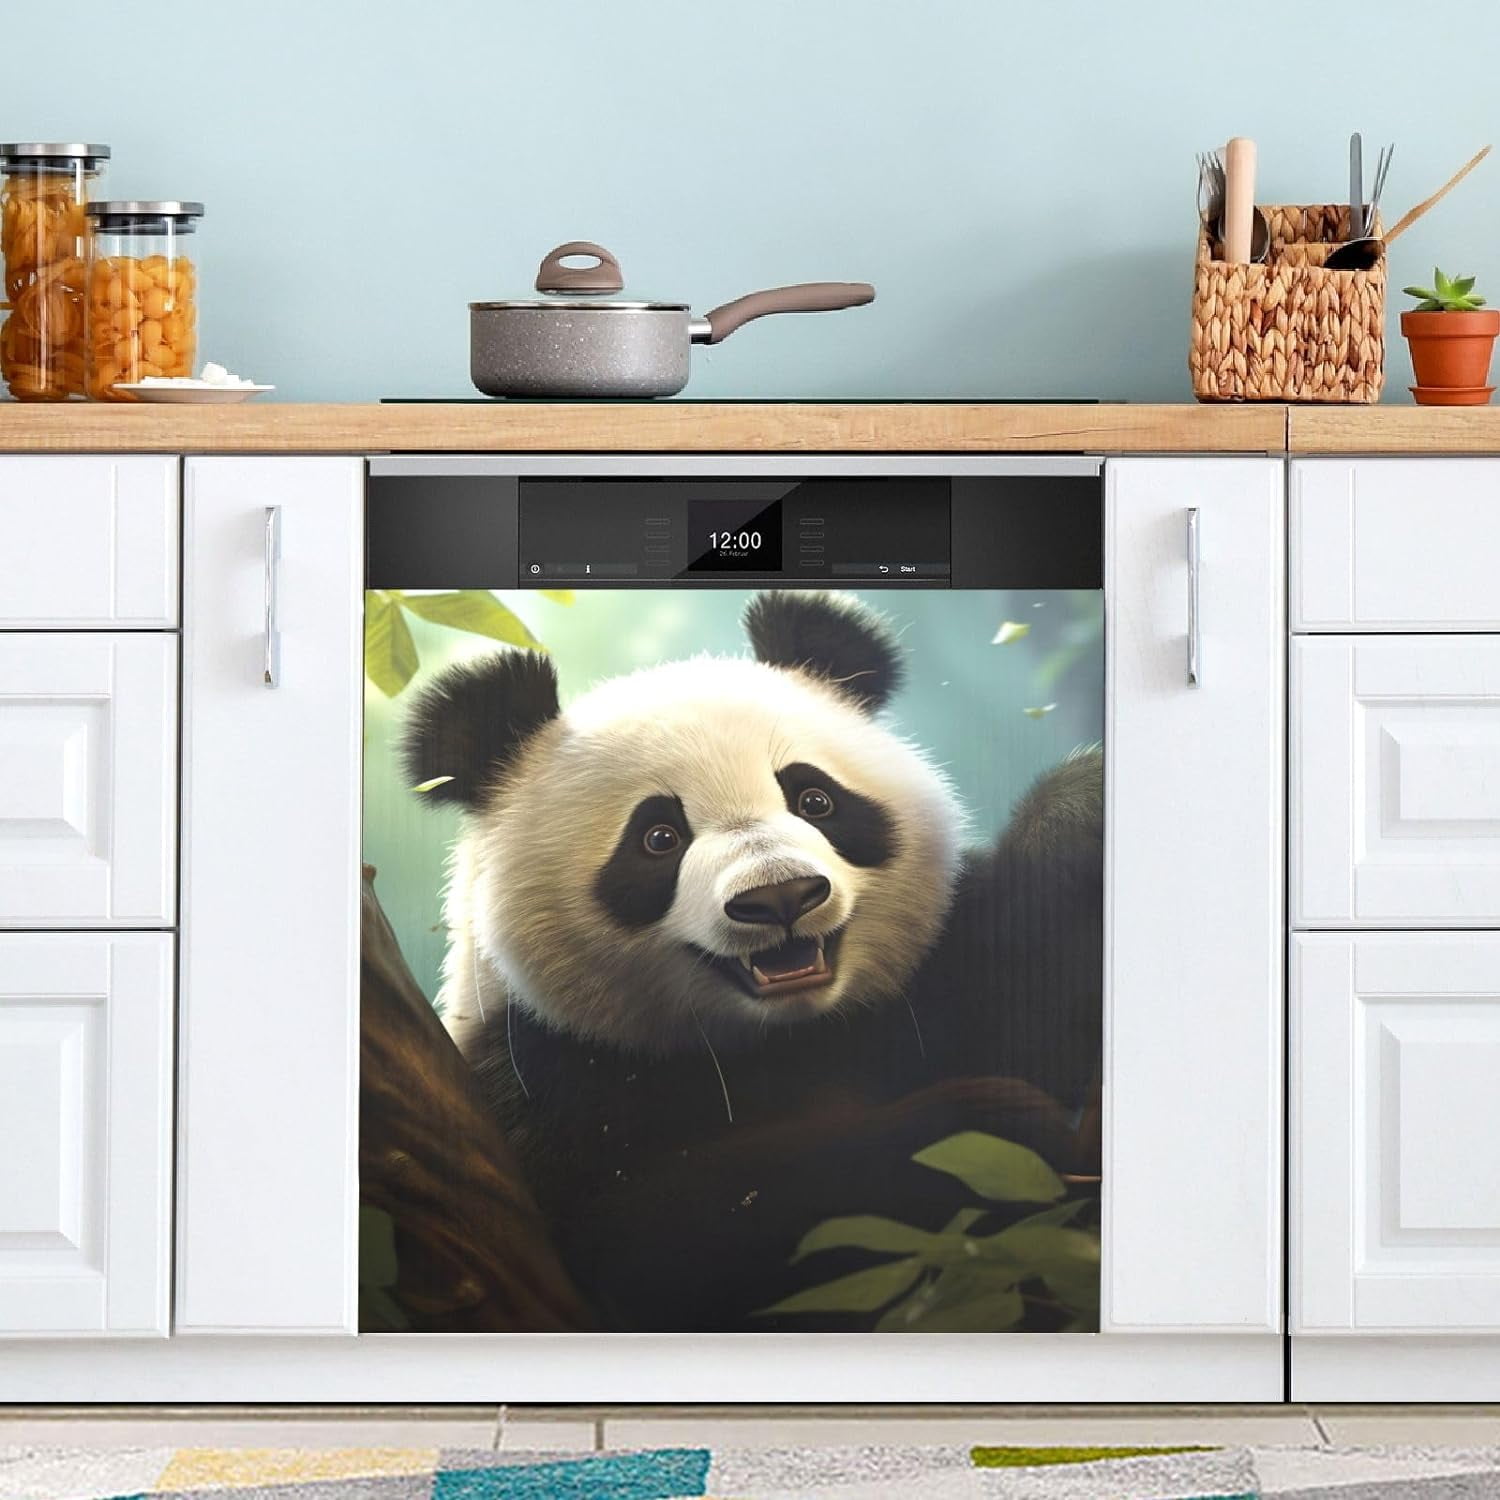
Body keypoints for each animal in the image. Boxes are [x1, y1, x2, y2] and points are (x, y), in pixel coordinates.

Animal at [403, 590, 1102, 1332]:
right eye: (658, 837)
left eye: (814, 799)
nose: (780, 896)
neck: (788, 1036)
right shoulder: (544, 1081)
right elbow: (671, 1233)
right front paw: (987, 1126)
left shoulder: (932, 985)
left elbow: (1037, 1018)